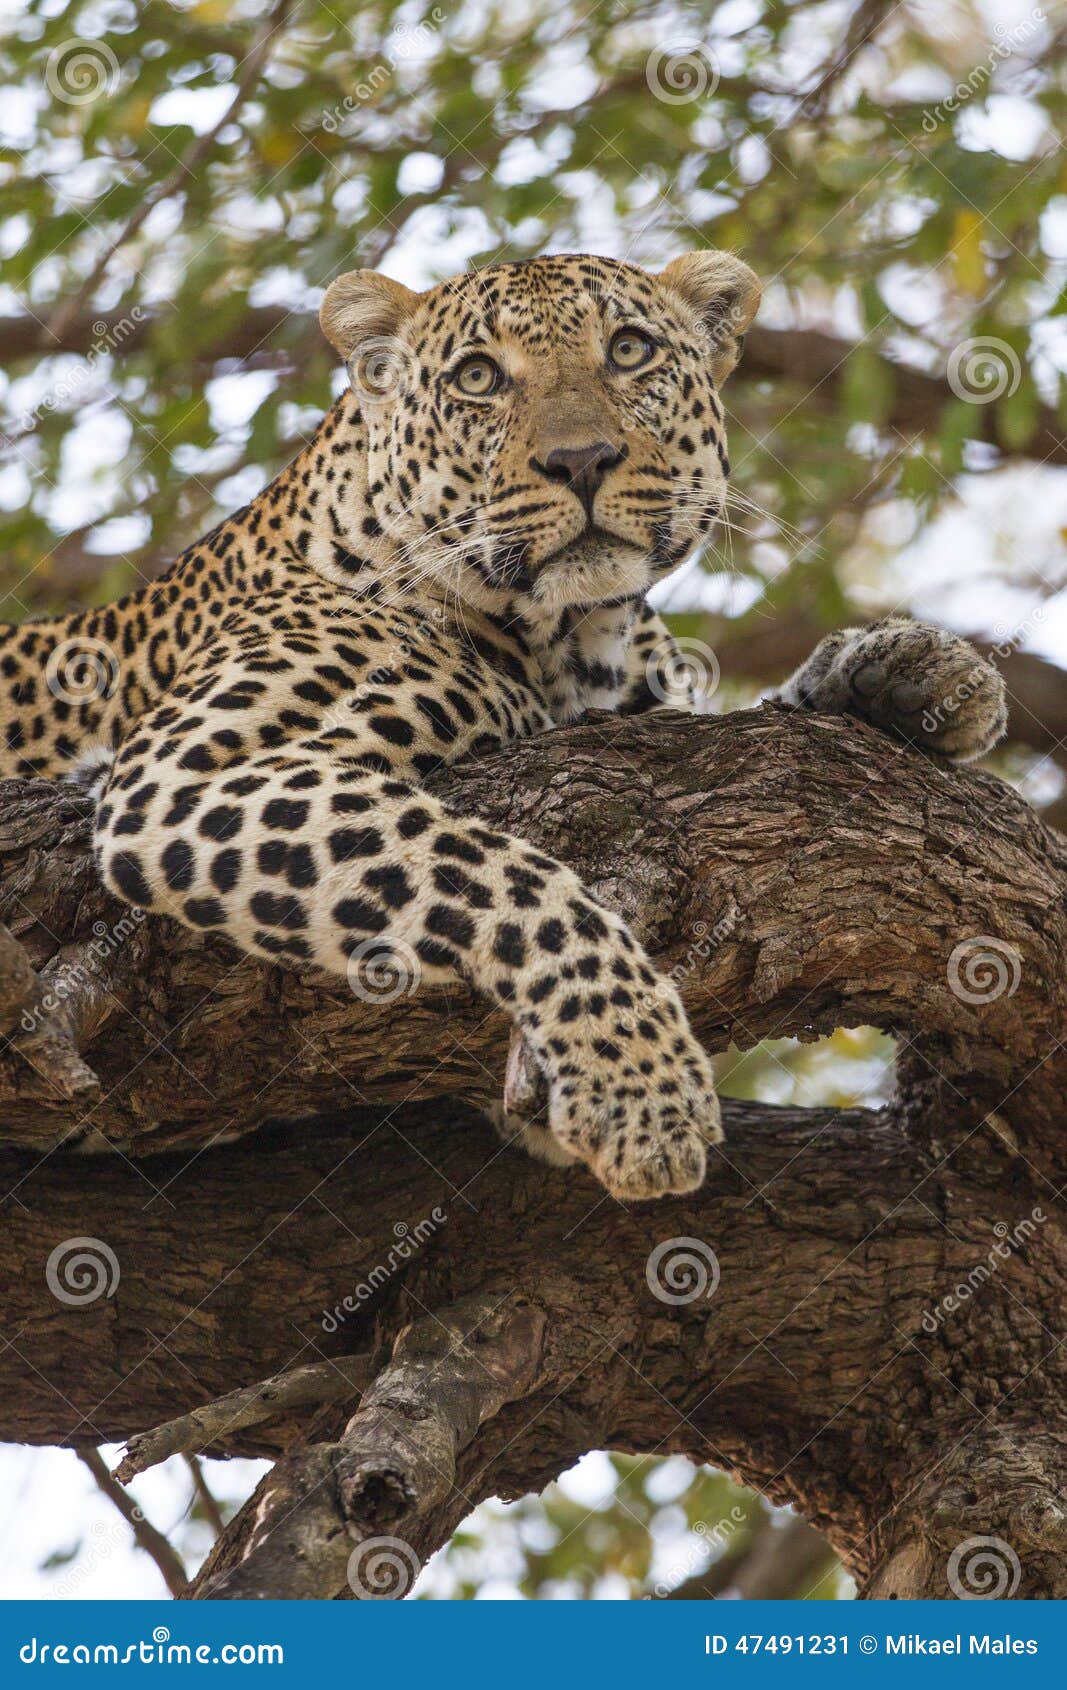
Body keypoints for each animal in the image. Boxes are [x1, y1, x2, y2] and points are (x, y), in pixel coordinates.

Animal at [0, 250, 1007, 1198]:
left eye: (628, 351)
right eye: (479, 377)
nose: (581, 460)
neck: (575, 643)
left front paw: (911, 672)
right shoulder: (187, 776)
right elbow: (505, 876)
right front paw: (639, 1081)